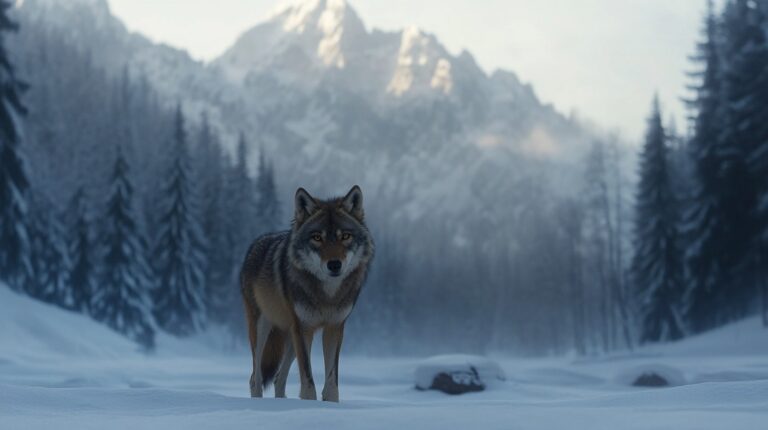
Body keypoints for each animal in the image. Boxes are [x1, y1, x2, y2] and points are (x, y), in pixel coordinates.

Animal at [240, 185, 374, 402]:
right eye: (317, 237)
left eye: (345, 236)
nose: (334, 264)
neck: (327, 295)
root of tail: (256, 243)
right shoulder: (303, 329)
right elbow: (308, 380)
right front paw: (310, 405)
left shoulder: (334, 328)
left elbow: (331, 381)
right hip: (263, 329)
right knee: (255, 378)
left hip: (291, 338)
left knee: (278, 379)